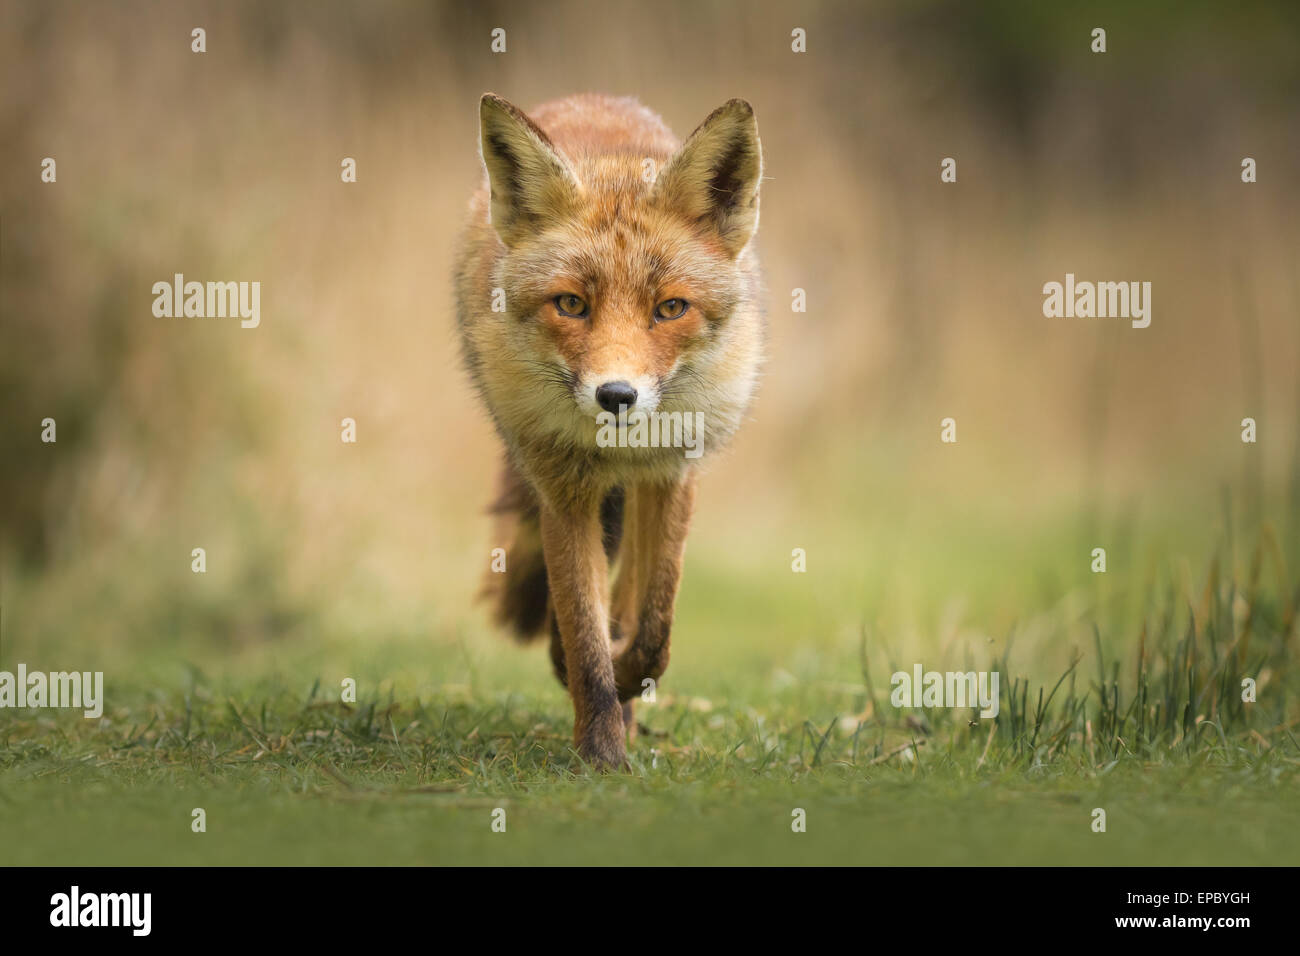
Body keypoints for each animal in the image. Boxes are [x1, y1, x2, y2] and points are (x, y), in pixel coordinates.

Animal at [454, 92, 765, 768]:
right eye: (571, 304)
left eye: (670, 308)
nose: (617, 396)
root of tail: (593, 99)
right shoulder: (563, 487)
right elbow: (583, 629)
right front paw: (600, 753)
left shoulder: (672, 474)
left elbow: (651, 626)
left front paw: (627, 688)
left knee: (627, 601)